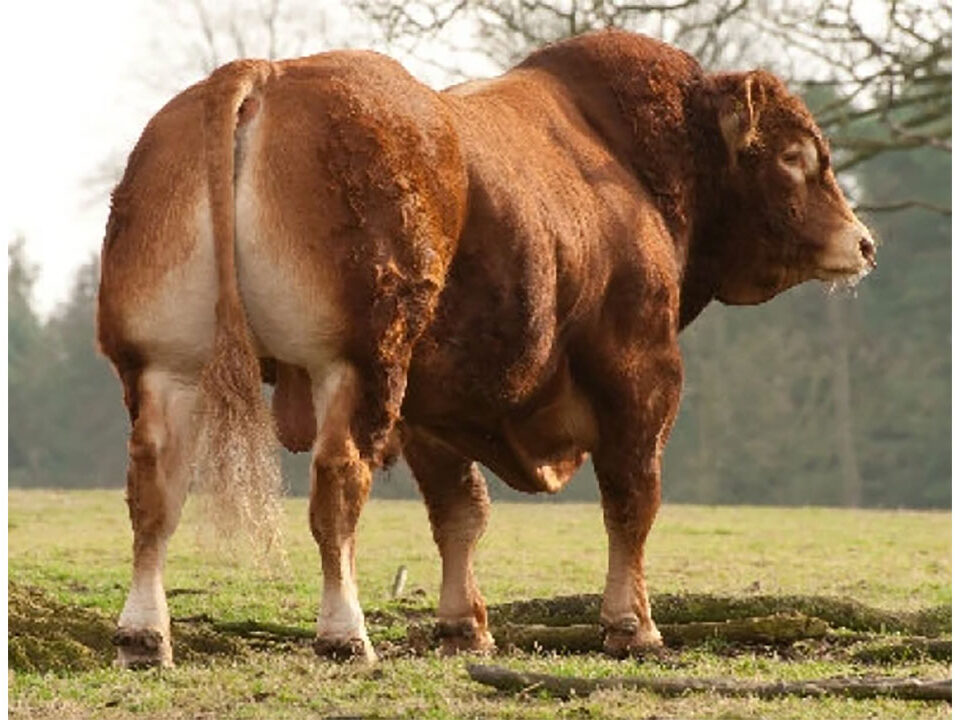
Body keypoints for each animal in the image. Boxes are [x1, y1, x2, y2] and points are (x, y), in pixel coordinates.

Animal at [97, 29, 876, 668]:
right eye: (796, 157)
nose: (864, 241)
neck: (630, 164)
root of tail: (268, 72)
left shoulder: (436, 406)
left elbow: (460, 512)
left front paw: (462, 627)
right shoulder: (641, 372)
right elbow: (632, 497)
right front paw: (633, 624)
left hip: (165, 366)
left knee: (154, 489)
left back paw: (144, 634)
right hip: (357, 362)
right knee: (338, 482)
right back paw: (344, 633)